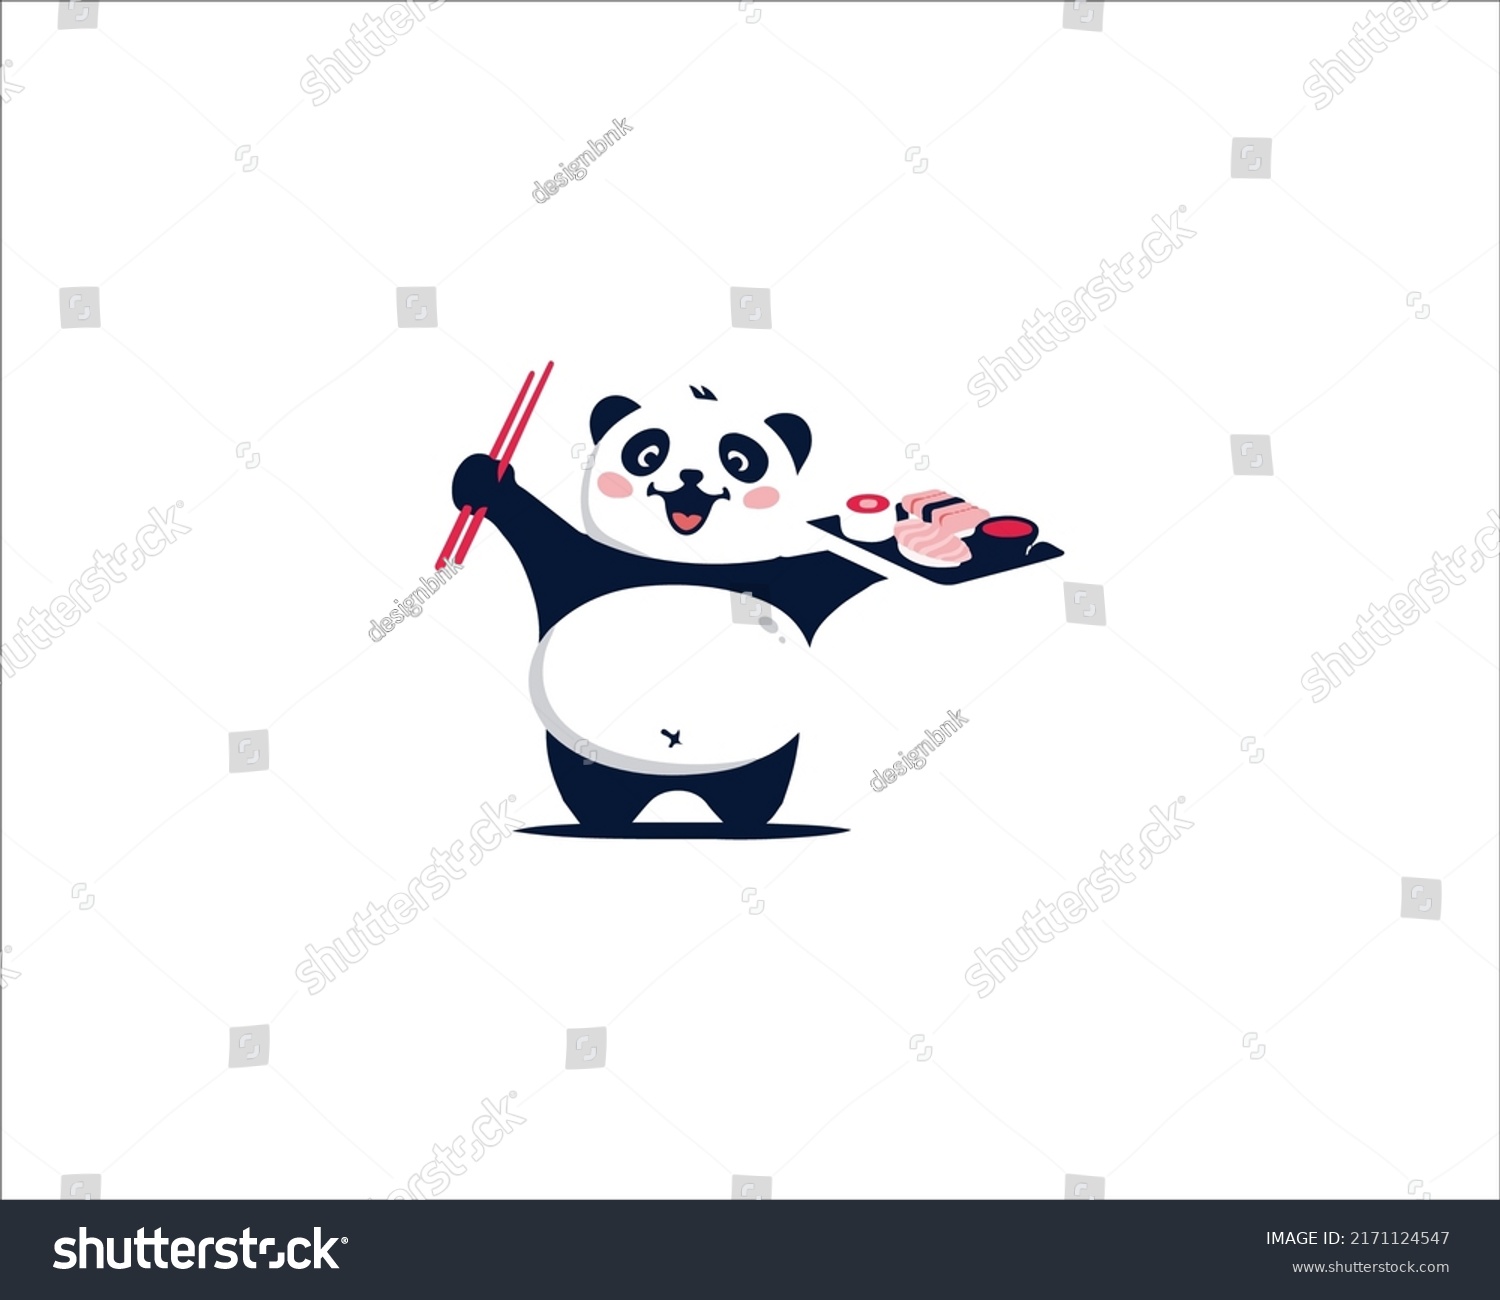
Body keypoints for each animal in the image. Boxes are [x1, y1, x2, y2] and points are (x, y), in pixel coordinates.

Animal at [450, 383, 886, 832]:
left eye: (739, 461)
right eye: (648, 454)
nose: (691, 475)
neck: (686, 560)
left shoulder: (792, 576)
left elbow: (835, 568)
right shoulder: (571, 562)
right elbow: (534, 525)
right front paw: (484, 480)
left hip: (759, 759)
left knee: (754, 788)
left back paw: (744, 827)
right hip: (589, 758)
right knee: (592, 787)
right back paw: (605, 825)